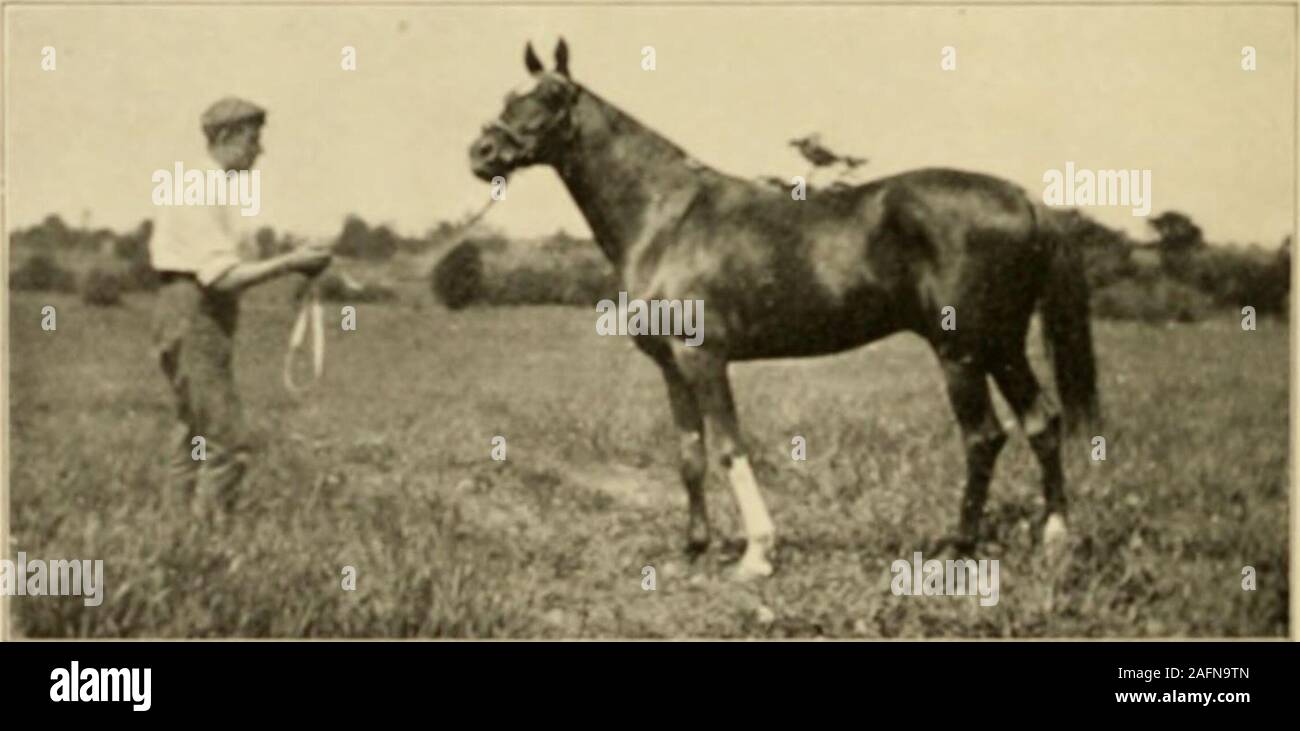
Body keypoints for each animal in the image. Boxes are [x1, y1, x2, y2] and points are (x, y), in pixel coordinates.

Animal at [468, 39, 1099, 580]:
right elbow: (689, 454)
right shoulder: (672, 367)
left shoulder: (703, 359)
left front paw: (757, 555)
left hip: (961, 351)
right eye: (506, 96)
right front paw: (695, 547)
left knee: (984, 436)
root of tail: (1024, 198)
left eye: (551, 97)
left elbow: (729, 450)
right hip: (1003, 345)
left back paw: (959, 546)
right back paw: (1054, 538)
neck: (667, 218)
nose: (482, 153)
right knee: (1042, 421)